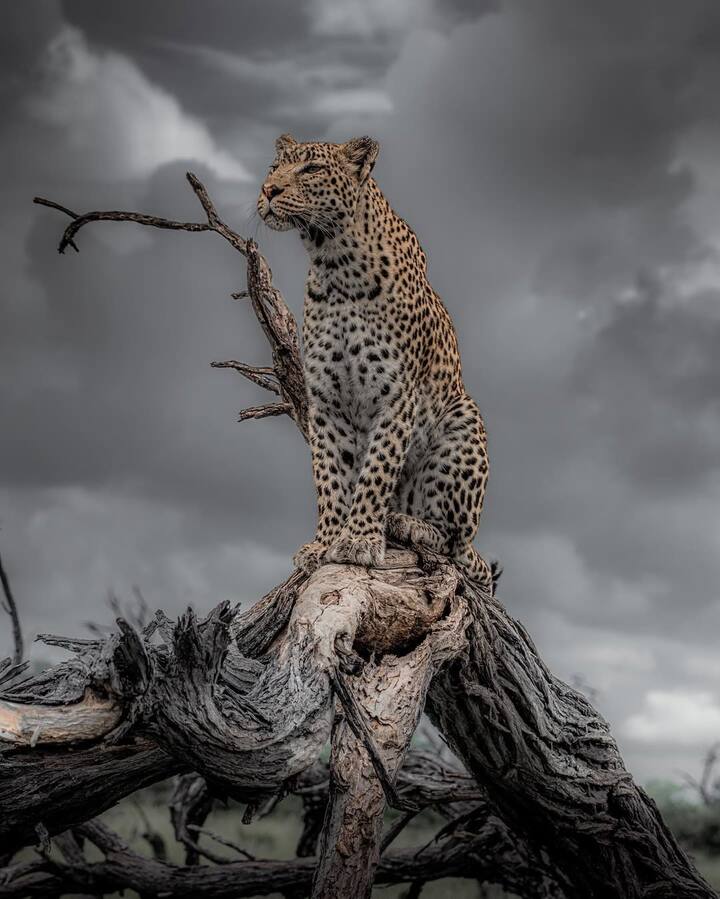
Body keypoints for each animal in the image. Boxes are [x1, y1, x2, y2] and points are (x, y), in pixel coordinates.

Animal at [258, 133, 496, 593]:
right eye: (274, 167)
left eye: (311, 168)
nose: (269, 191)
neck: (333, 262)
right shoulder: (327, 402)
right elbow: (330, 477)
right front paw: (325, 542)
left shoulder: (395, 396)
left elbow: (376, 469)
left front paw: (359, 539)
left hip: (464, 420)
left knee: (453, 541)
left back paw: (405, 523)